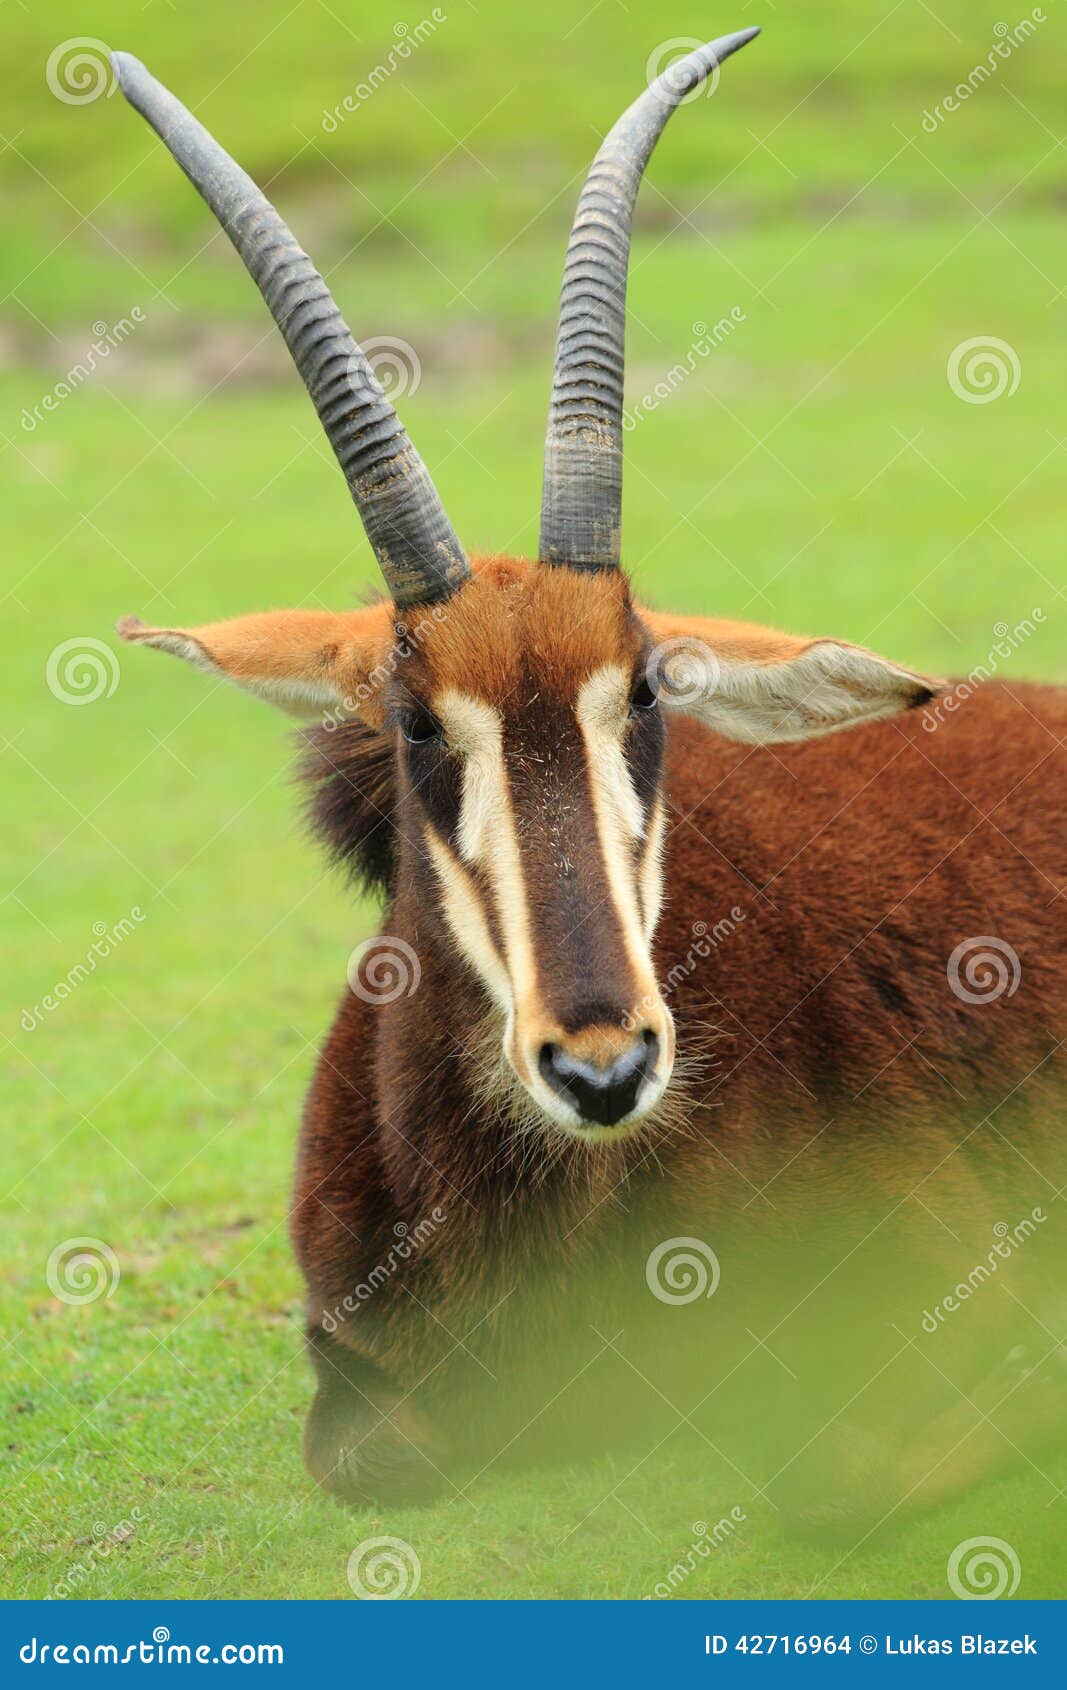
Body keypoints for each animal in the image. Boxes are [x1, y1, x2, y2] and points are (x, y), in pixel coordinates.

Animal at [113, 32, 1067, 1540]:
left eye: (646, 695)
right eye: (414, 724)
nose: (602, 1064)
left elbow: (822, 1471)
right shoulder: (353, 1364)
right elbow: (366, 1451)